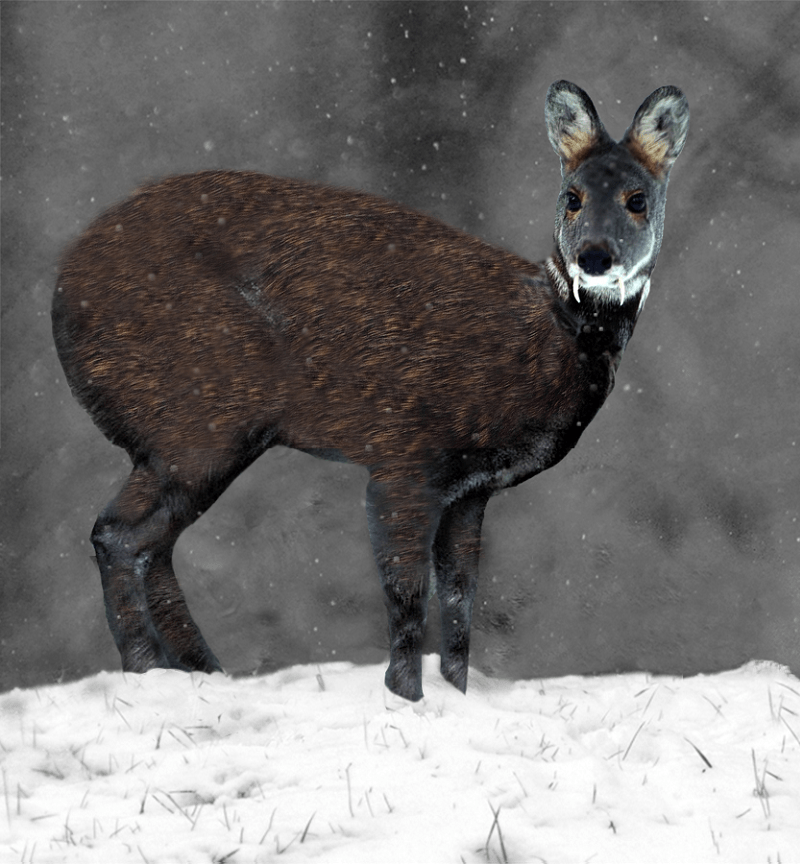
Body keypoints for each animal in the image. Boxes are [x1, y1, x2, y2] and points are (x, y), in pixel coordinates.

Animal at [52, 80, 689, 701]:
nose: (594, 257)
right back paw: (147, 675)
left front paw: (458, 700)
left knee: (150, 544)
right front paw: (405, 700)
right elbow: (406, 598)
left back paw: (199, 673)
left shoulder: (471, 488)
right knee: (116, 534)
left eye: (637, 198)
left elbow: (460, 602)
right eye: (571, 196)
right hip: (199, 415)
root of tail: (61, 291)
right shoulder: (405, 453)